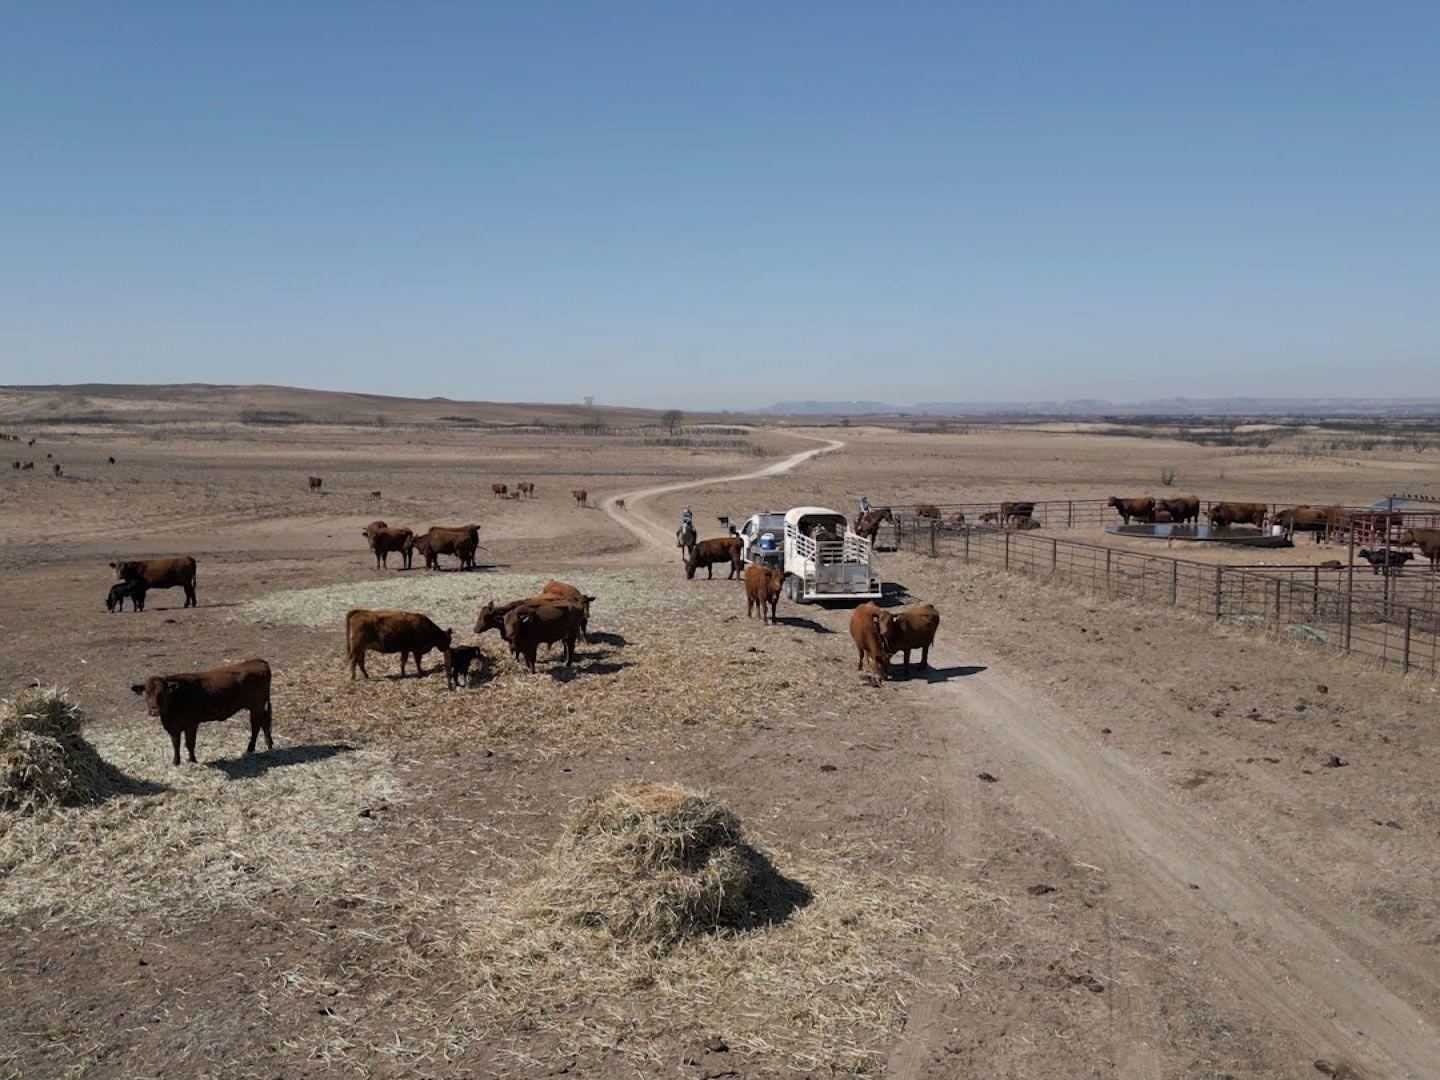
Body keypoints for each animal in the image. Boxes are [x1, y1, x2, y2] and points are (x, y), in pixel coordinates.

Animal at [130, 659, 272, 766]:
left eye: (163, 693)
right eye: (147, 692)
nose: (154, 710)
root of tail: (258, 661)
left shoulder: (191, 724)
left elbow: (189, 743)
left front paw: (192, 760)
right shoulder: (173, 728)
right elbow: (176, 744)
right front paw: (176, 762)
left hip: (256, 706)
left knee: (256, 725)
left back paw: (251, 748)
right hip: (258, 707)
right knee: (264, 721)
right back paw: (269, 744)